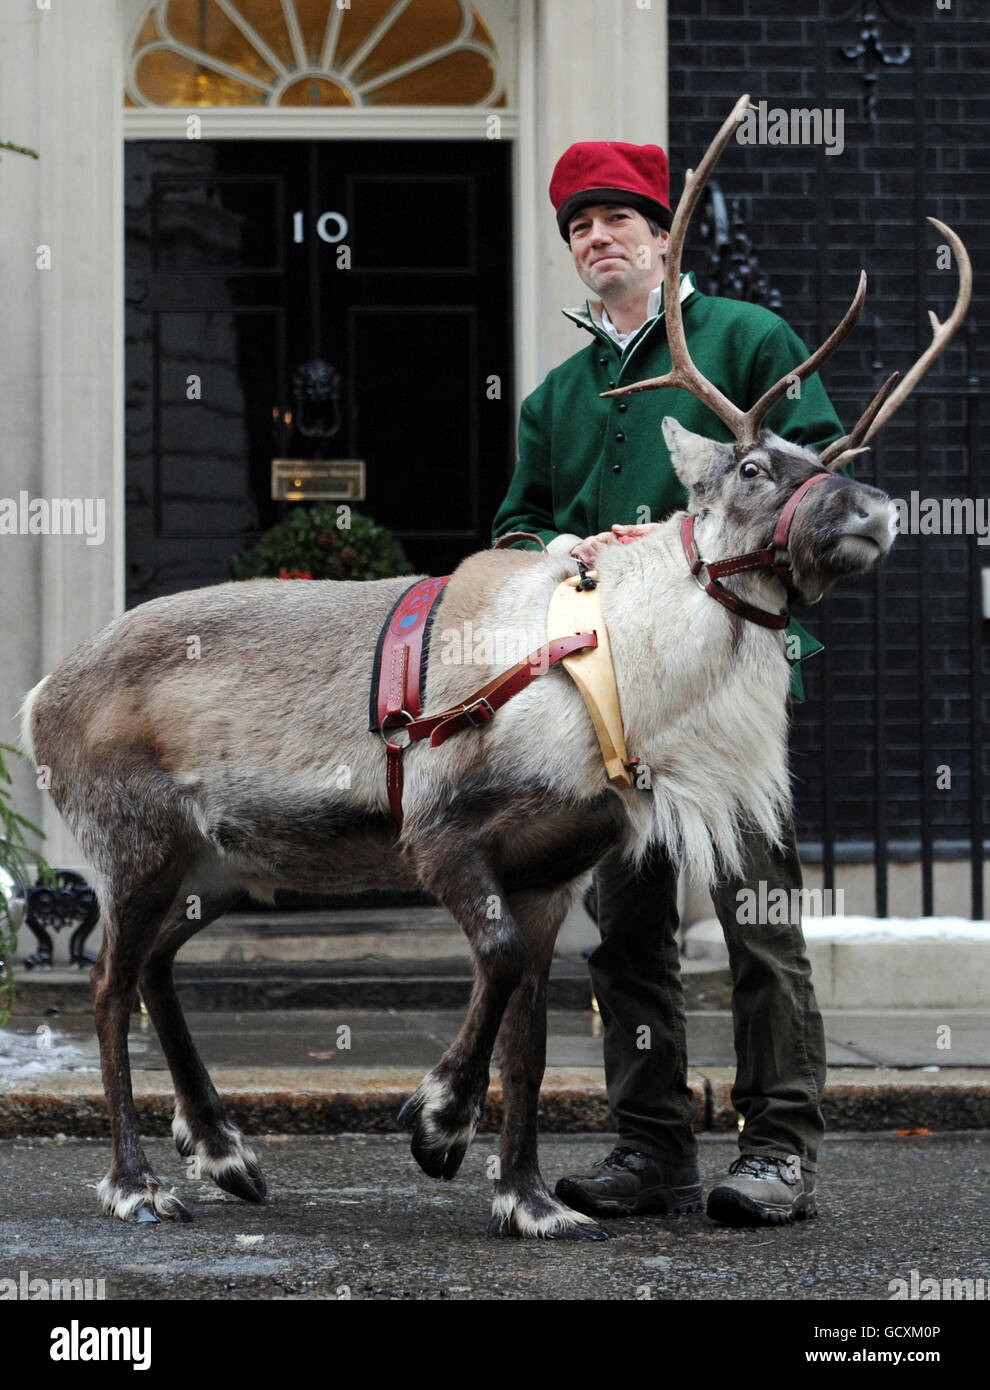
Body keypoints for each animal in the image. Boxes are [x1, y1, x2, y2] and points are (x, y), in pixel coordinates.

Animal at [20, 96, 970, 1240]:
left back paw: (226, 1151)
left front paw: (529, 1197)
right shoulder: (442, 833)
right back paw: (136, 1180)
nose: (873, 510)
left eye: (822, 457)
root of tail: (41, 691)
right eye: (752, 466)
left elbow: (530, 1026)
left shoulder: (556, 869)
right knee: (108, 983)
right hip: (136, 839)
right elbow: (503, 969)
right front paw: (435, 1121)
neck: (620, 679)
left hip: (224, 861)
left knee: (159, 967)